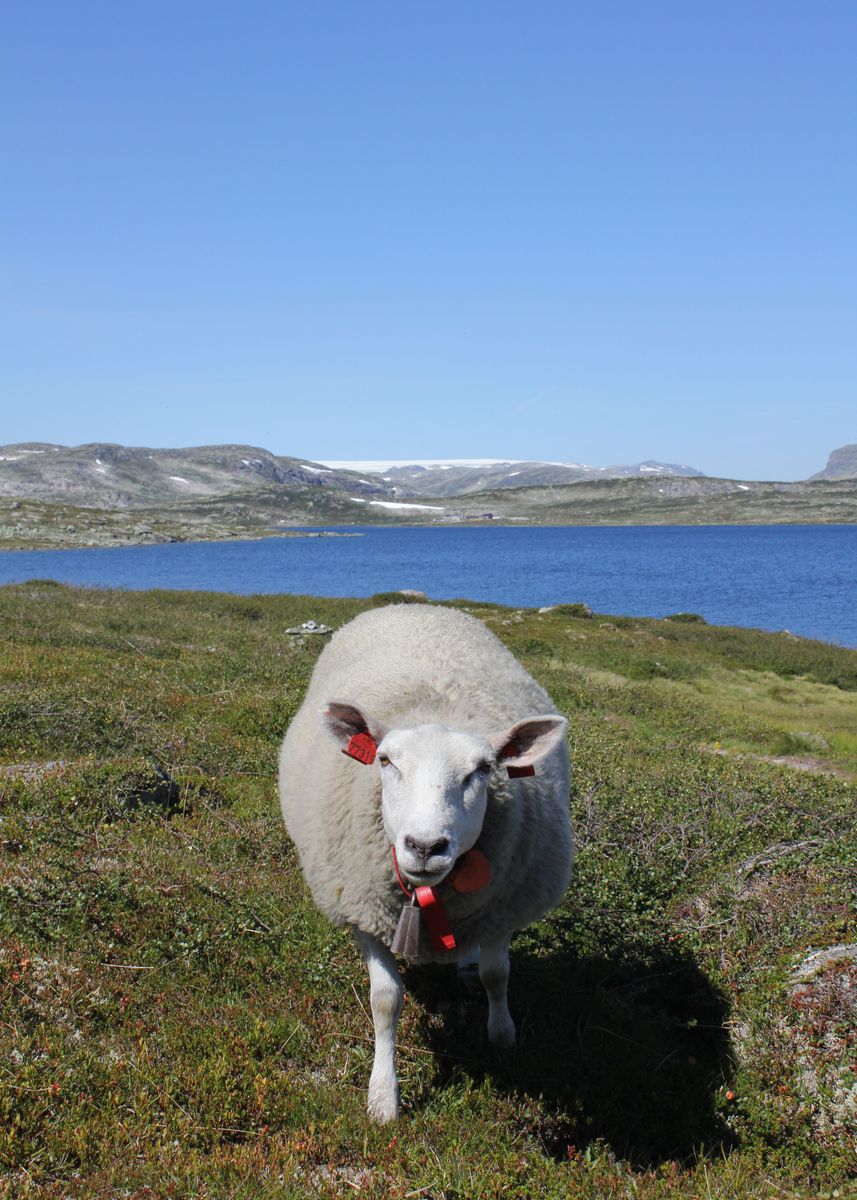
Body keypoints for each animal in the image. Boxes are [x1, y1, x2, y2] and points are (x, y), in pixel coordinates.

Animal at [279, 603, 572, 1121]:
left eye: (483, 769)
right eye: (385, 761)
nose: (425, 846)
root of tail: (416, 605)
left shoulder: (502, 909)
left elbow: (498, 974)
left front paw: (502, 1036)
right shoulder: (365, 911)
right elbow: (385, 1001)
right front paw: (383, 1096)